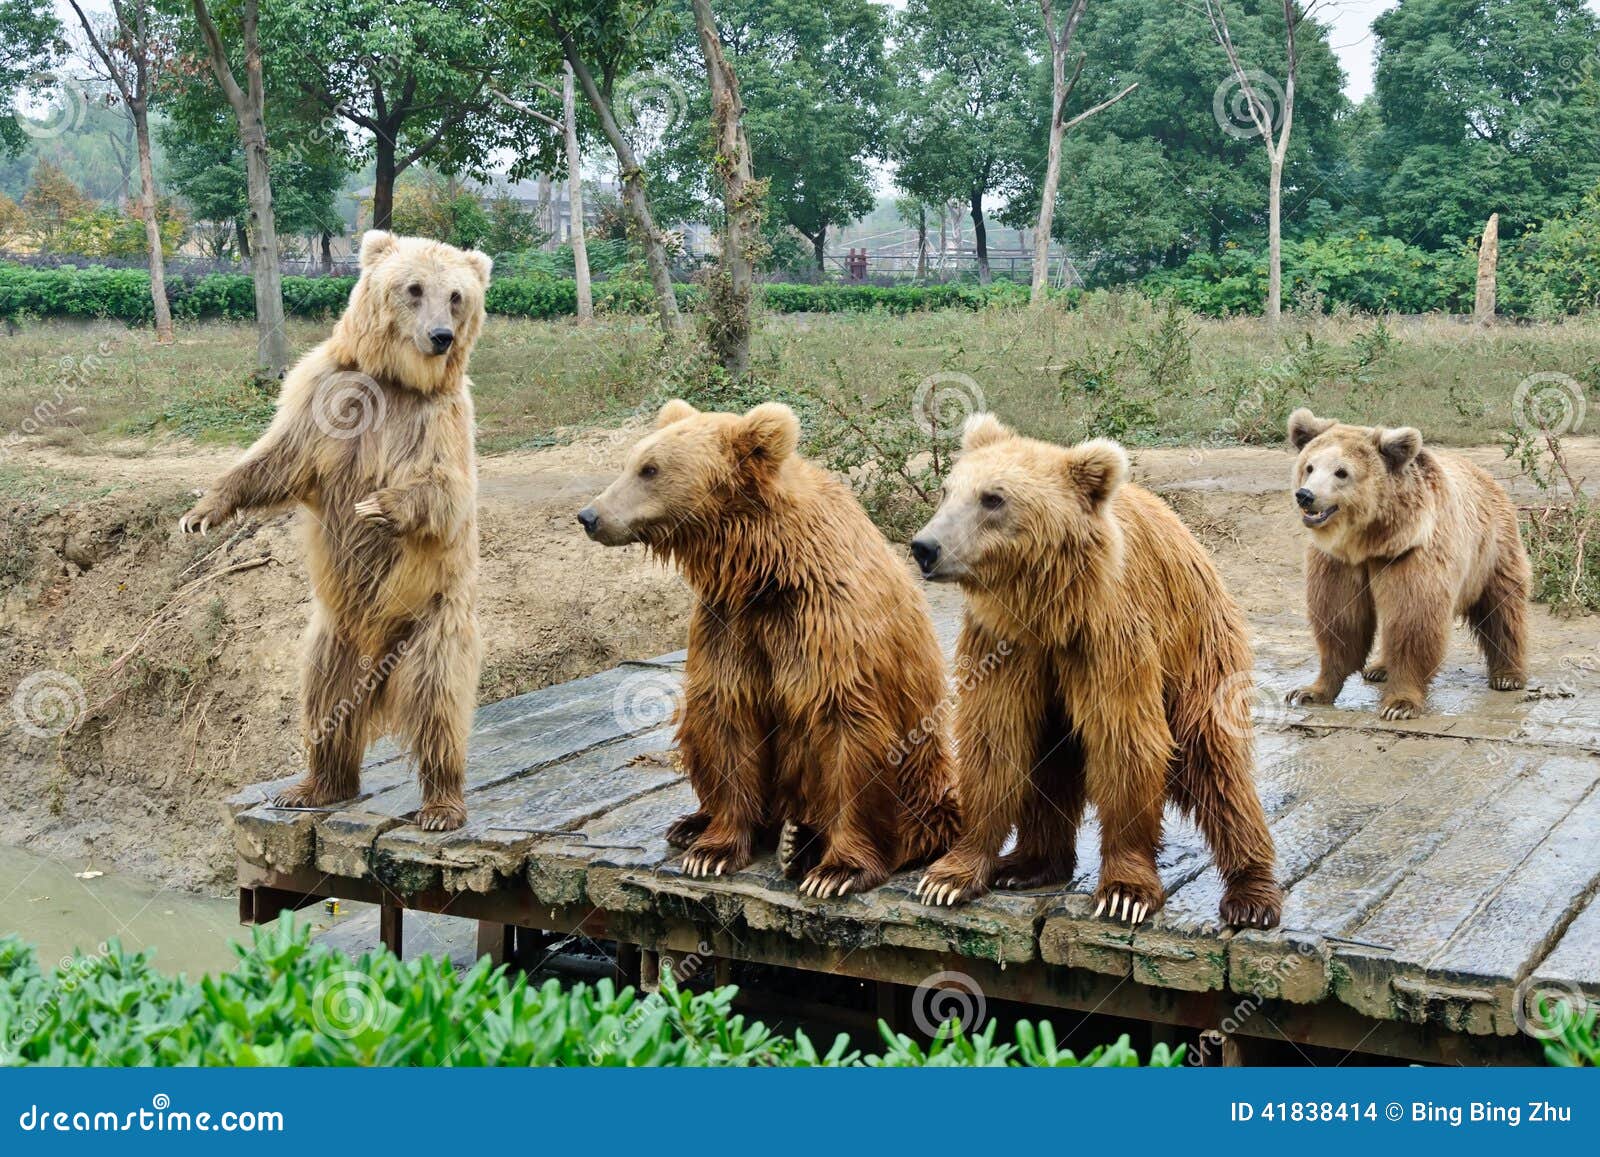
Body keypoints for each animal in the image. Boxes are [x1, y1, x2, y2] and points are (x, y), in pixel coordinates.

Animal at [178, 230, 489, 831]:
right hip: (334, 636)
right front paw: (202, 510)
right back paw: (313, 785)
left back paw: (441, 804)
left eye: (456, 295)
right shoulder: (332, 393)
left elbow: (445, 490)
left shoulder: (441, 418)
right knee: (325, 703)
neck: (398, 381)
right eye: (414, 288)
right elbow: (277, 458)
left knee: (438, 702)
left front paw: (378, 507)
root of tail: (379, 674)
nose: (440, 336)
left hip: (433, 620)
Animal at [577, 399, 960, 897]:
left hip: (926, 778)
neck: (760, 568)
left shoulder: (826, 621)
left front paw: (837, 871)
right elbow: (728, 714)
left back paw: (801, 841)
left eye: (650, 469)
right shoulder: (729, 622)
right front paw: (712, 851)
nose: (589, 515)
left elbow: (846, 730)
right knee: (695, 725)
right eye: (632, 461)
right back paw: (695, 825)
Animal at [908, 414, 1281, 928]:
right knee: (1049, 760)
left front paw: (1124, 892)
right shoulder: (1005, 646)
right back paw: (1029, 864)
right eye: (947, 490)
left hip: (1199, 648)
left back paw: (1251, 894)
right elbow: (994, 740)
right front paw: (948, 878)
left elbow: (1124, 740)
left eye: (993, 497)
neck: (1047, 611)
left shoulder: (1109, 636)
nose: (925, 547)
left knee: (1215, 759)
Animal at [1285, 409, 1530, 720]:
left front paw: (1399, 704)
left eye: (1341, 471)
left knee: (1502, 608)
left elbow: (1412, 620)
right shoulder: (1338, 564)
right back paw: (1379, 668)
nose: (1305, 495)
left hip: (1492, 550)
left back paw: (1507, 675)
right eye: (1309, 466)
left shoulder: (1411, 555)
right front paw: (1309, 692)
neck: (1369, 543)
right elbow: (1340, 621)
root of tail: (1486, 476)